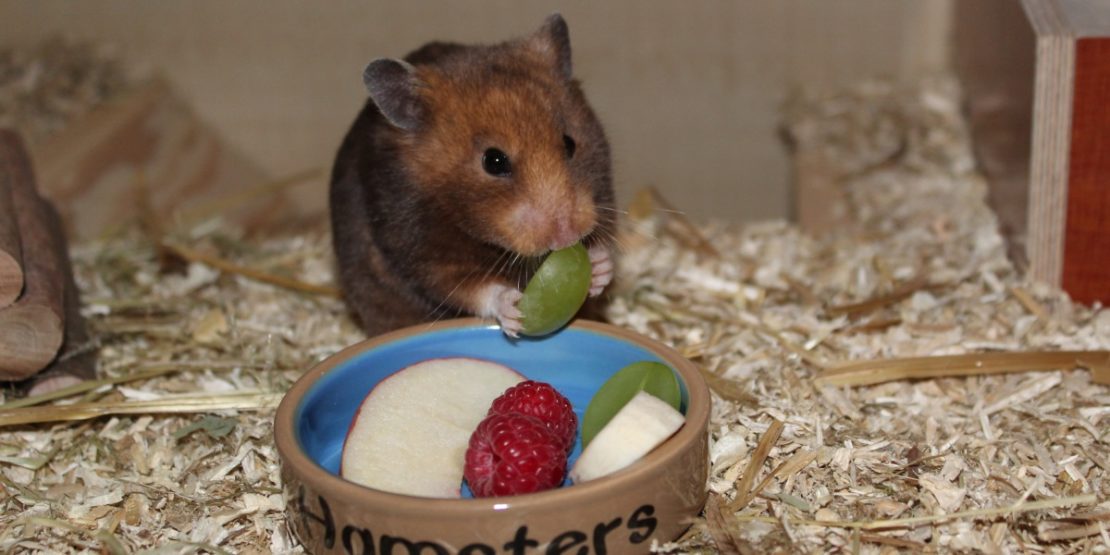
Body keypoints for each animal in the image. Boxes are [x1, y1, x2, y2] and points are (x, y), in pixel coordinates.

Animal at [330, 14, 616, 337]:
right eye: (493, 161)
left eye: (569, 144)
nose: (566, 236)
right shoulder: (422, 251)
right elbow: (471, 288)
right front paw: (512, 310)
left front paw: (599, 264)